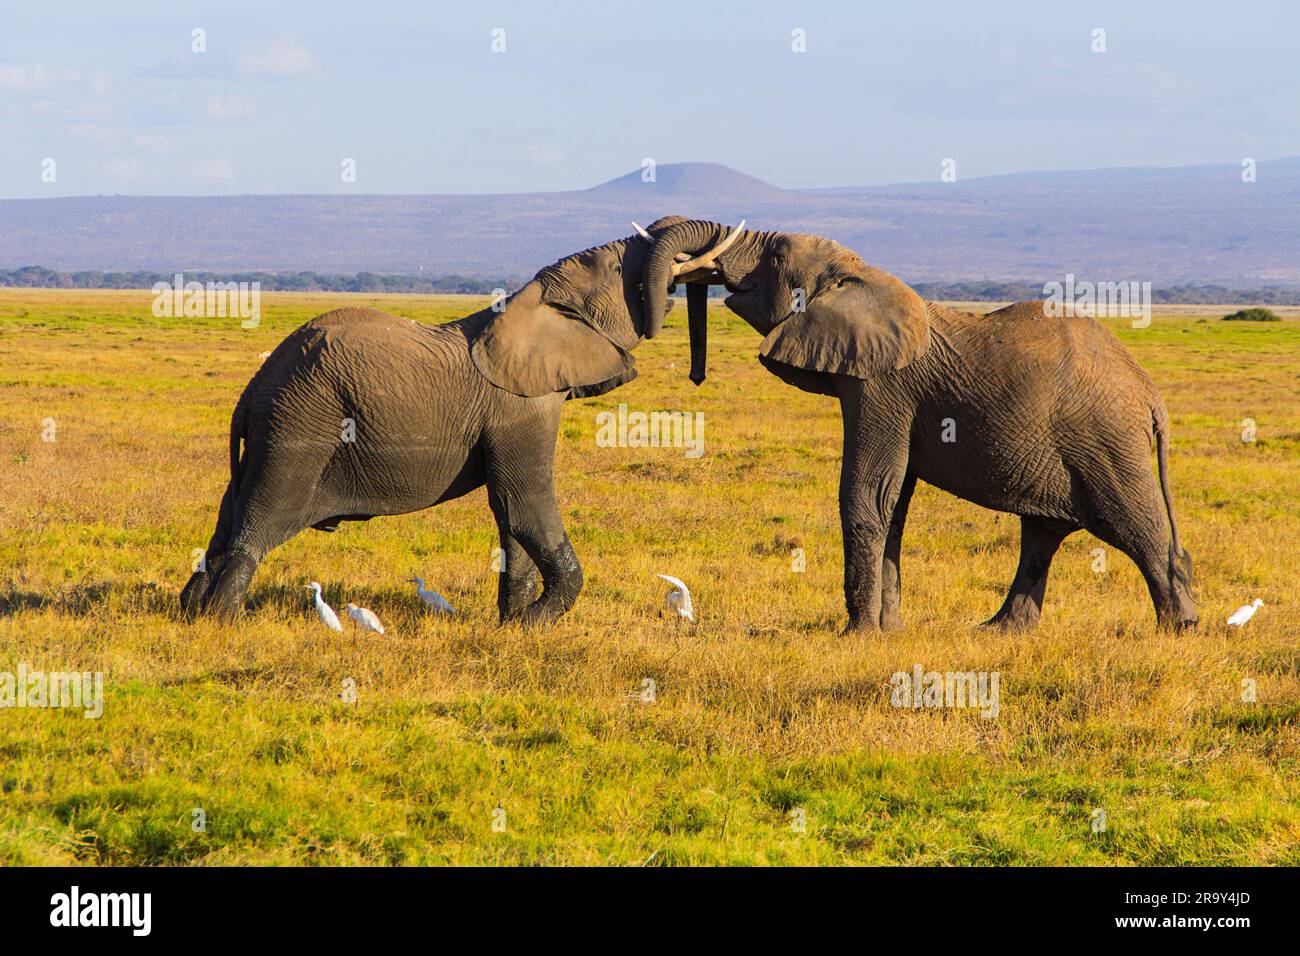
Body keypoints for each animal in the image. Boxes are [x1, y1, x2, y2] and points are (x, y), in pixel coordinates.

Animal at [180, 216, 737, 624]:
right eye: (618, 265)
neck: (531, 302)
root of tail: (252, 390)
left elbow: (508, 514)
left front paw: (510, 622)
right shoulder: (520, 408)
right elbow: (525, 503)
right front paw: (535, 622)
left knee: (228, 519)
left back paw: (189, 611)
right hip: (300, 423)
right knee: (262, 520)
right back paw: (222, 621)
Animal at [638, 219, 1198, 633]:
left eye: (775, 256)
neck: (860, 274)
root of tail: (1152, 397)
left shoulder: (882, 386)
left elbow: (868, 491)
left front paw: (859, 636)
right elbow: (895, 500)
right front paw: (890, 633)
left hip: (1105, 442)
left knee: (1135, 525)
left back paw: (1178, 630)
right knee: (1042, 534)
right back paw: (997, 632)